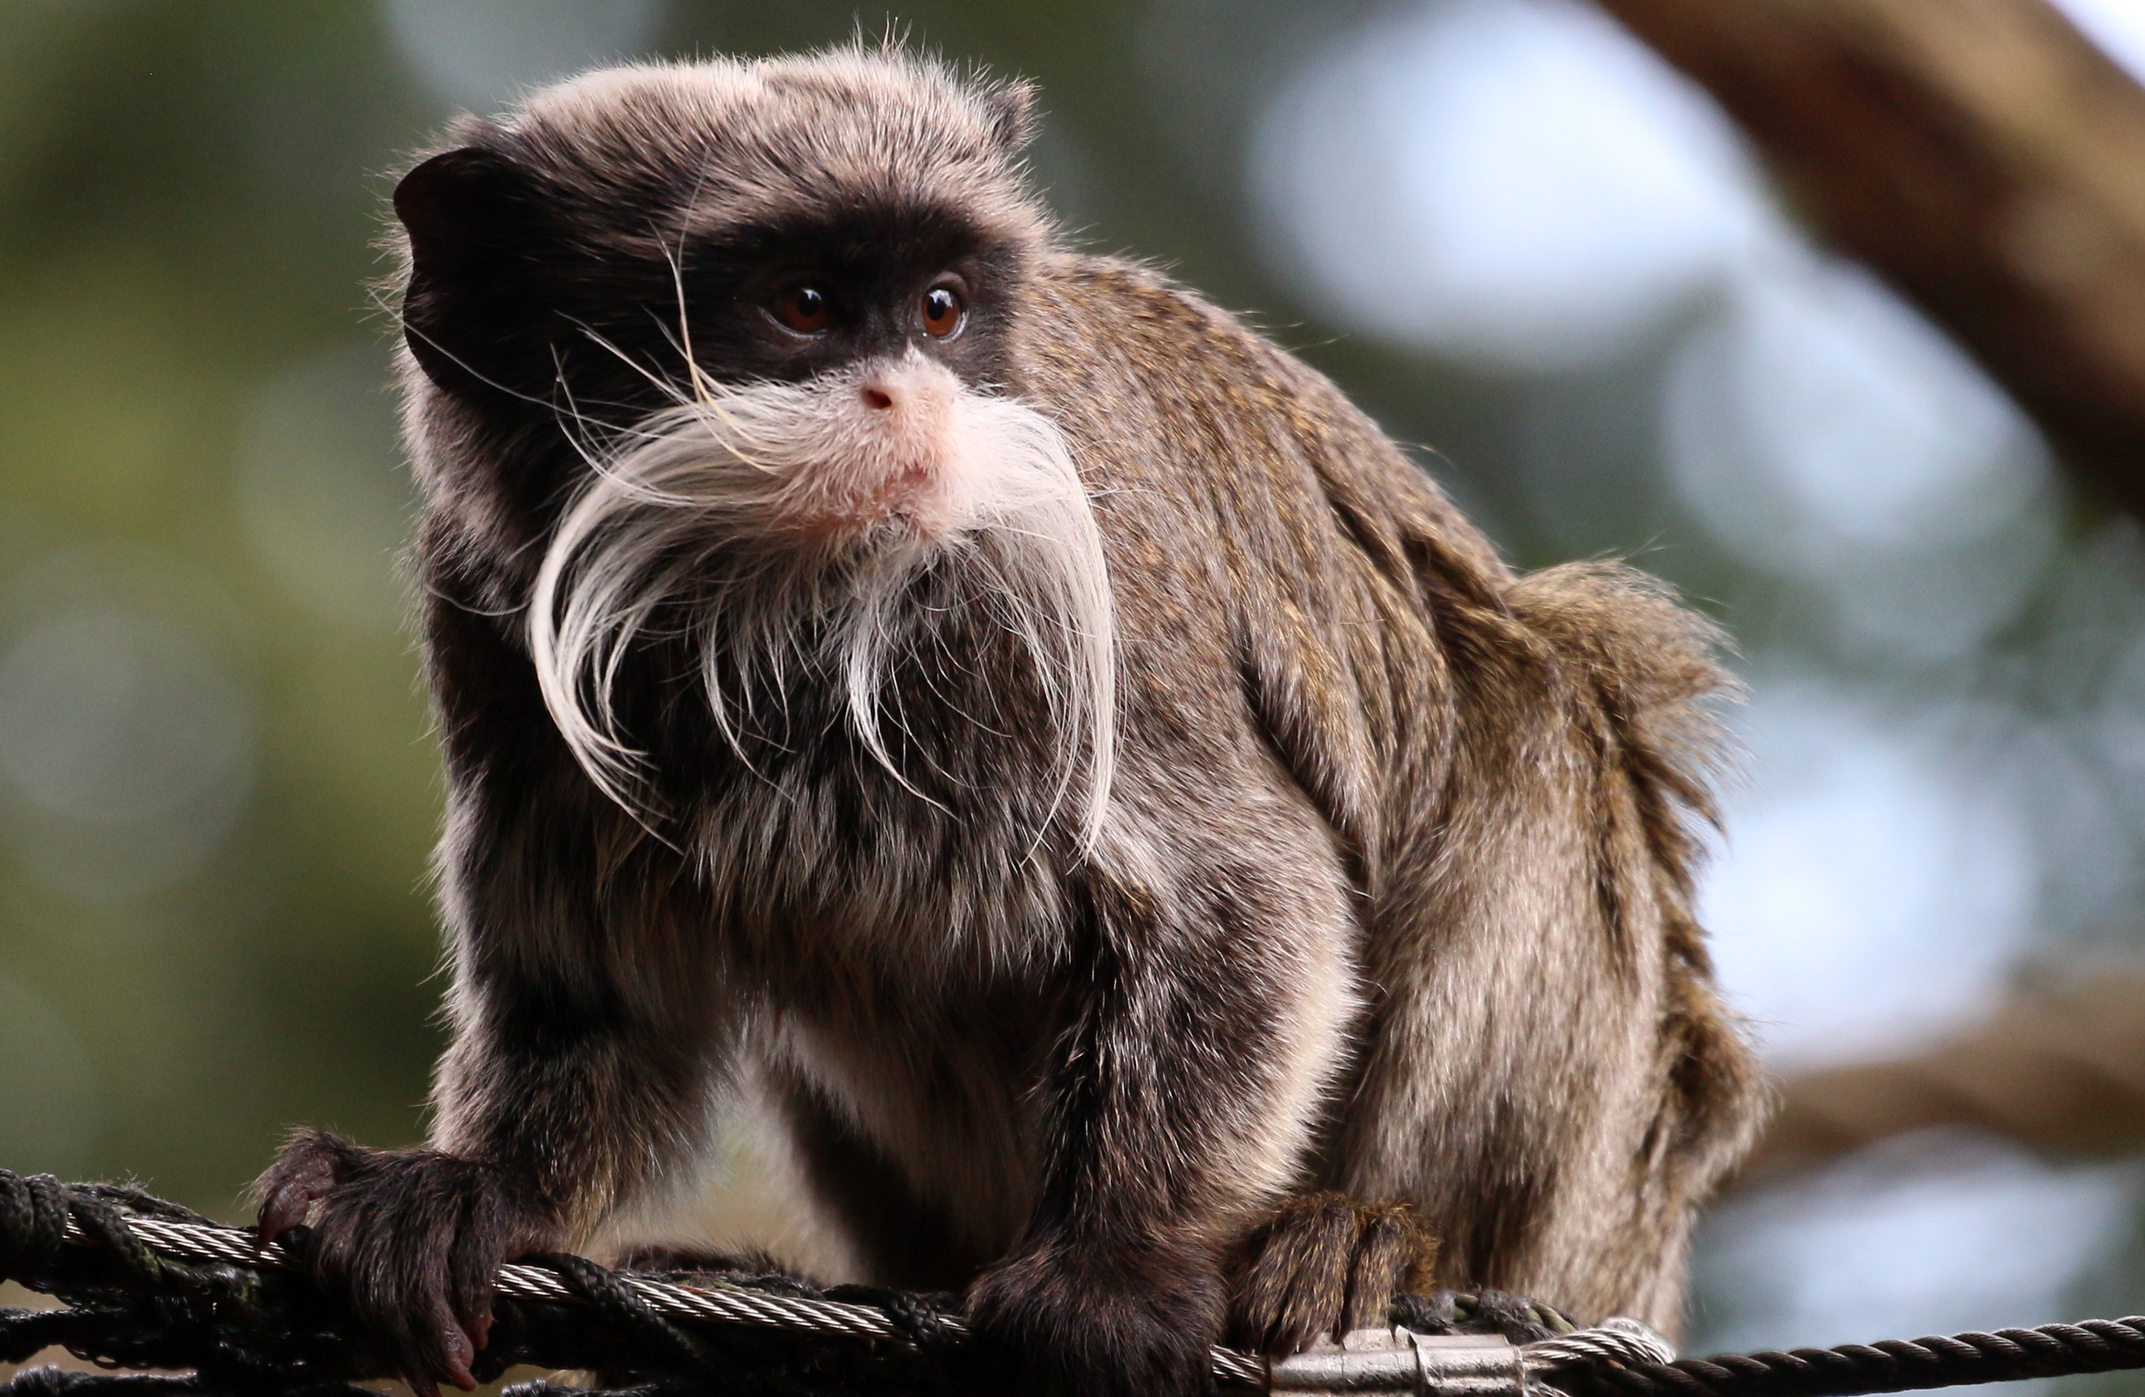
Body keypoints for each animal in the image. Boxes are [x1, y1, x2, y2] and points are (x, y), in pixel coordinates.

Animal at [251, 45, 1764, 1397]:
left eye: (936, 310)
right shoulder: (491, 618)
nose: (909, 400)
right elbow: (596, 987)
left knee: (1541, 717)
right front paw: (470, 1185)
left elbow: (1246, 895)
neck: (778, 609)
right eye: (802, 306)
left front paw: (1119, 1267)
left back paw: (1380, 1238)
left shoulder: (1075, 588)